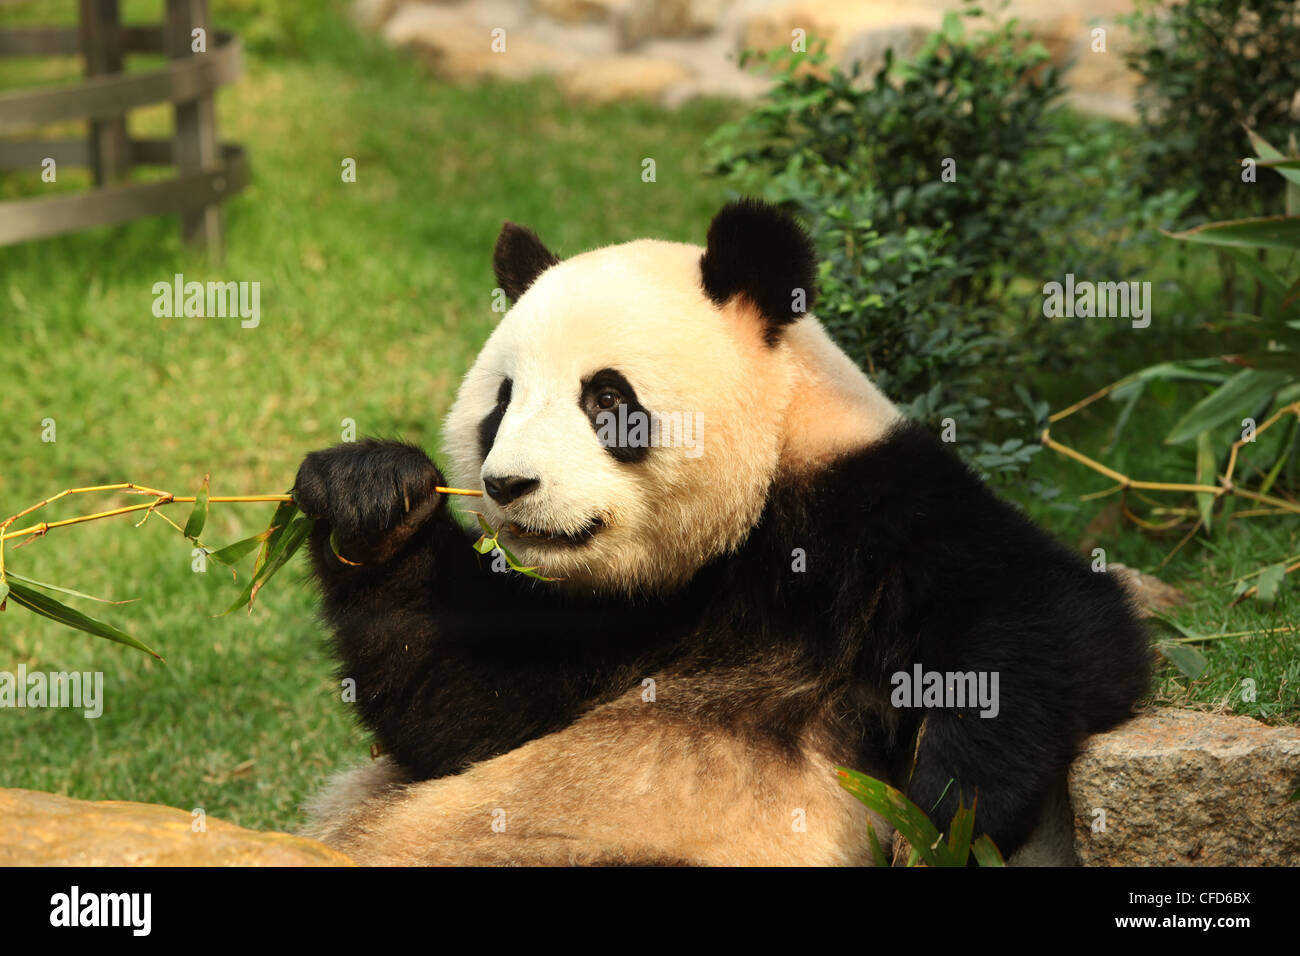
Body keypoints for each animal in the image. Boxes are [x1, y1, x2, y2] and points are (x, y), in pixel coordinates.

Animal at [293, 199, 1151, 866]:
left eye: (608, 399)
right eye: (502, 401)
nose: (509, 486)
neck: (735, 545)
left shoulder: (873, 513)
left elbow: (1051, 623)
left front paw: (944, 815)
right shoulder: (606, 622)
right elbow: (467, 712)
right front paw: (370, 497)